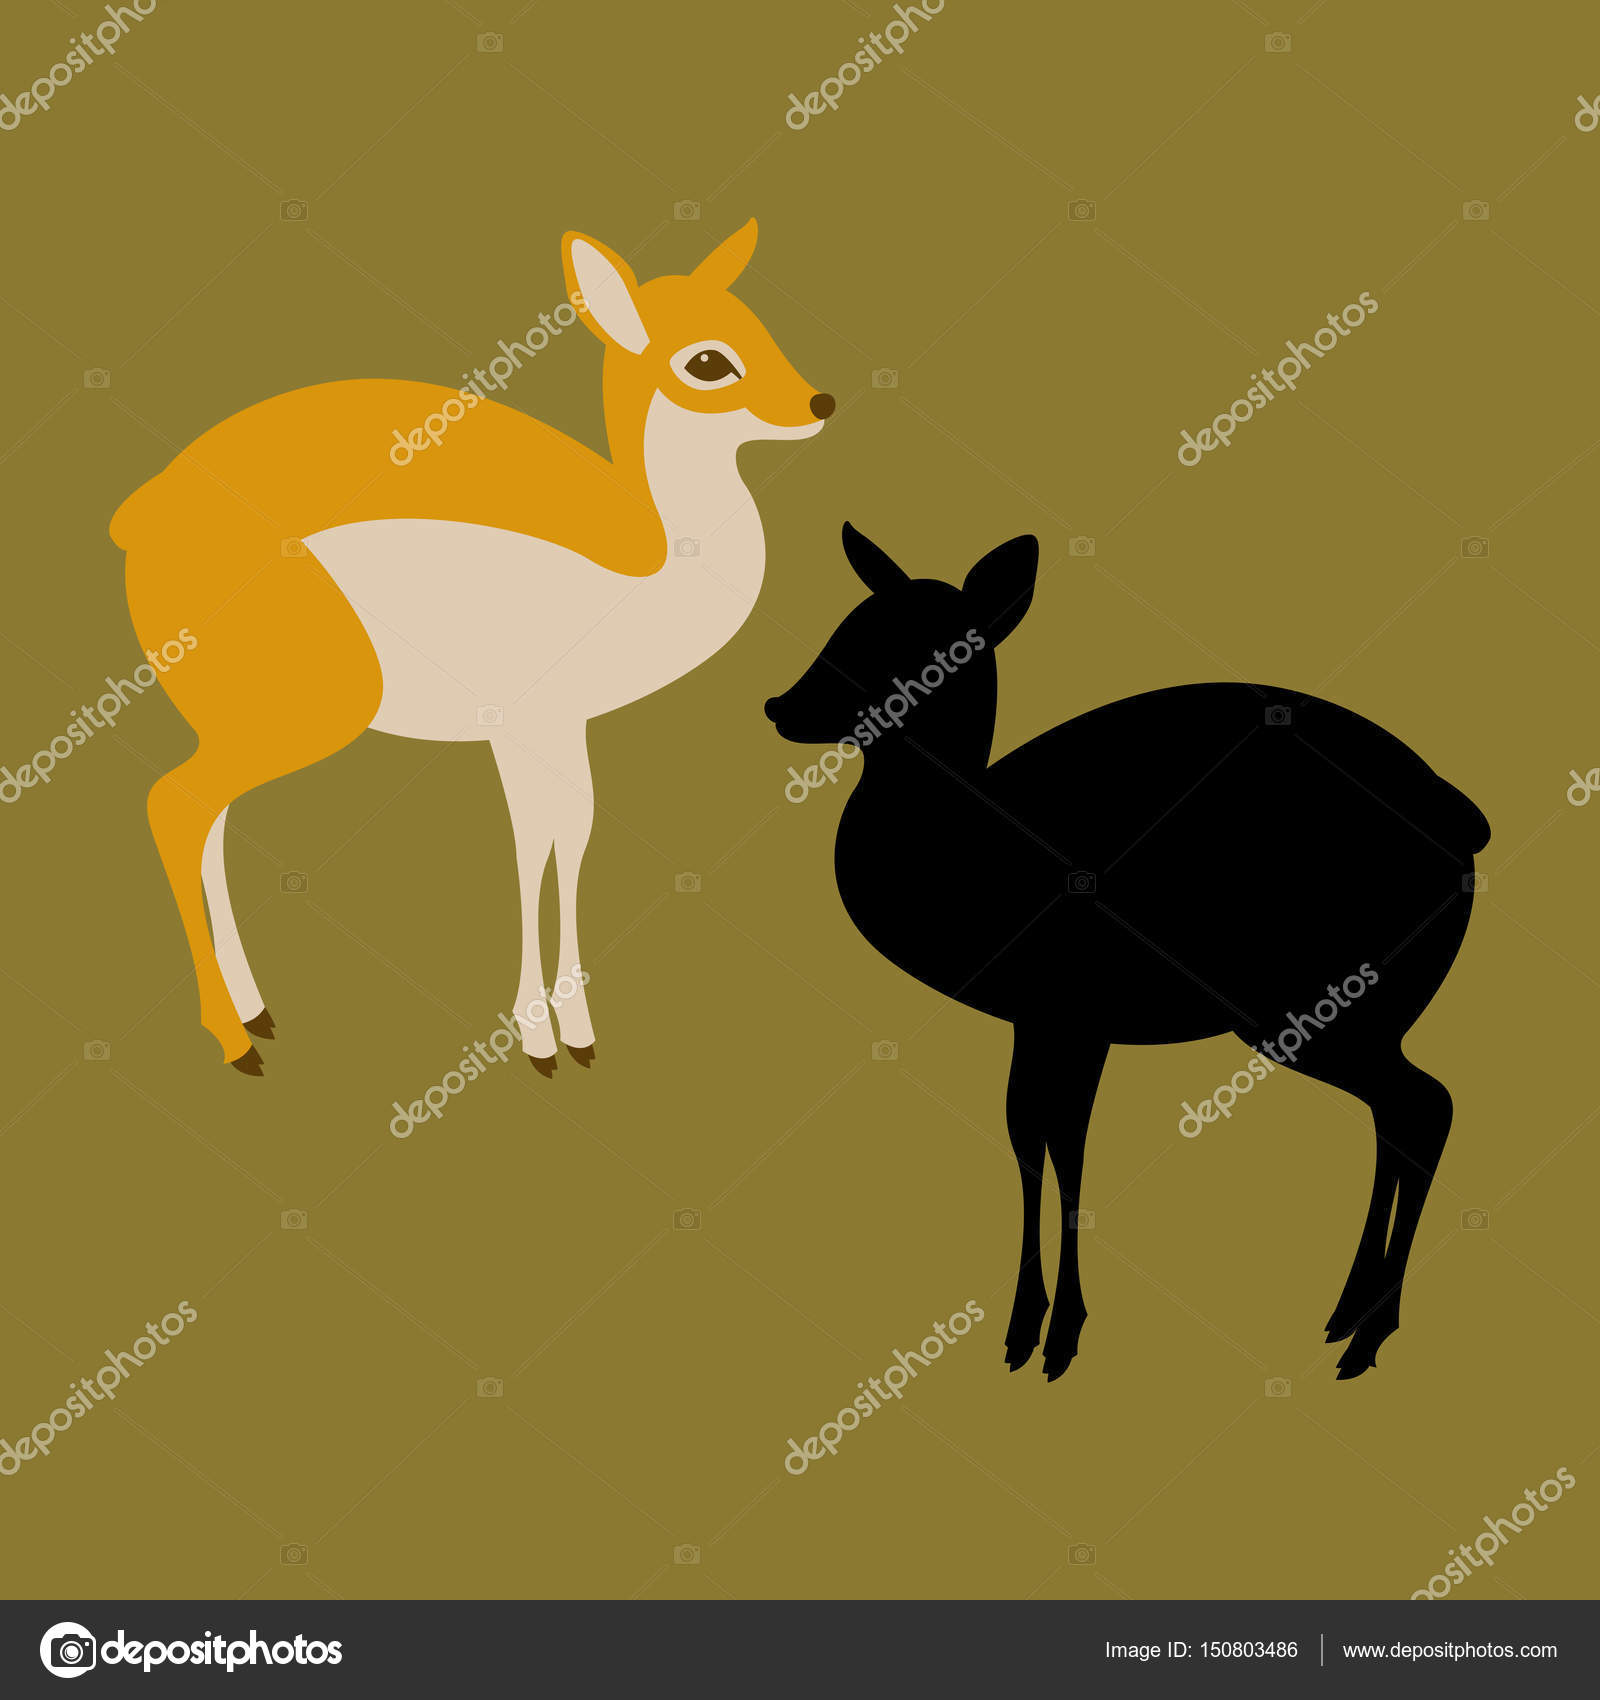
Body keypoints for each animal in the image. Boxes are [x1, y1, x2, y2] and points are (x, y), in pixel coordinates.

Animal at [111, 221, 831, 1076]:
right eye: (708, 361)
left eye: (757, 322)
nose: (819, 403)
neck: (654, 567)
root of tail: (144, 511)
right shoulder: (520, 726)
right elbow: (529, 847)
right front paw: (539, 1040)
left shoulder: (564, 729)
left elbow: (572, 836)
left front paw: (578, 1031)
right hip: (312, 710)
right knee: (173, 804)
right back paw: (232, 1043)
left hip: (237, 716)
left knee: (207, 816)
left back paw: (257, 1014)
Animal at [765, 524, 1489, 1382]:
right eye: (850, 621)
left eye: (926, 647)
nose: (781, 706)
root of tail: (1467, 822)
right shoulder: (1043, 1018)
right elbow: (1029, 1132)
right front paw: (1024, 1330)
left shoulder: (1077, 1011)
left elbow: (1067, 1141)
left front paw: (1058, 1338)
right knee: (1400, 1110)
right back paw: (1345, 1316)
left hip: (1321, 1005)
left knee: (1424, 1103)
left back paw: (1368, 1337)